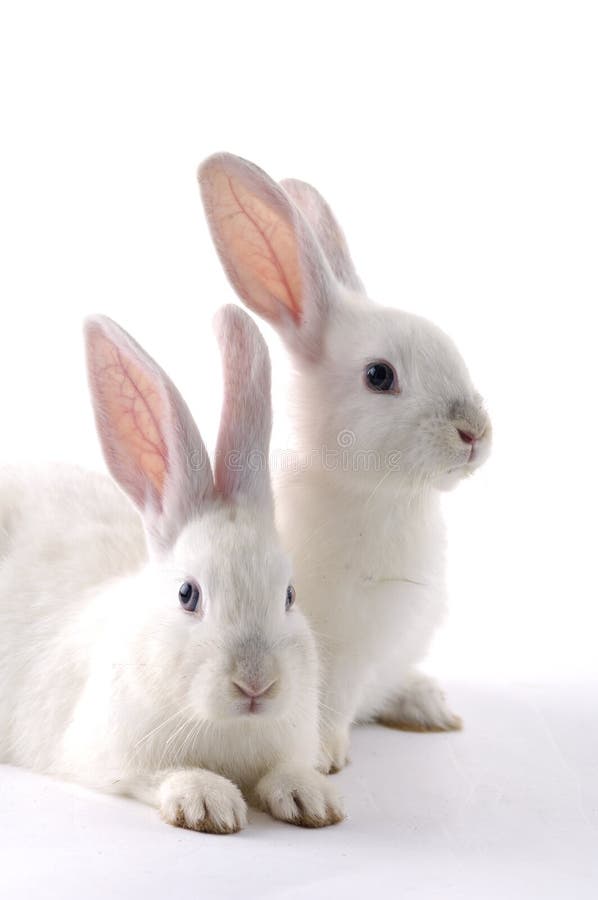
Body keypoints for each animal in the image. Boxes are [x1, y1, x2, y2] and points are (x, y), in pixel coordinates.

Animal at [0, 304, 344, 832]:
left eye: (289, 595)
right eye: (188, 594)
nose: (257, 683)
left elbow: (286, 769)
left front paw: (311, 799)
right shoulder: (113, 759)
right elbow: (163, 774)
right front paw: (208, 802)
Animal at [198, 154, 492, 774]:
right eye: (379, 375)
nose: (475, 433)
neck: (377, 497)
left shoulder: (365, 646)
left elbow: (336, 700)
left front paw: (321, 756)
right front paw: (316, 762)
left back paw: (429, 707)